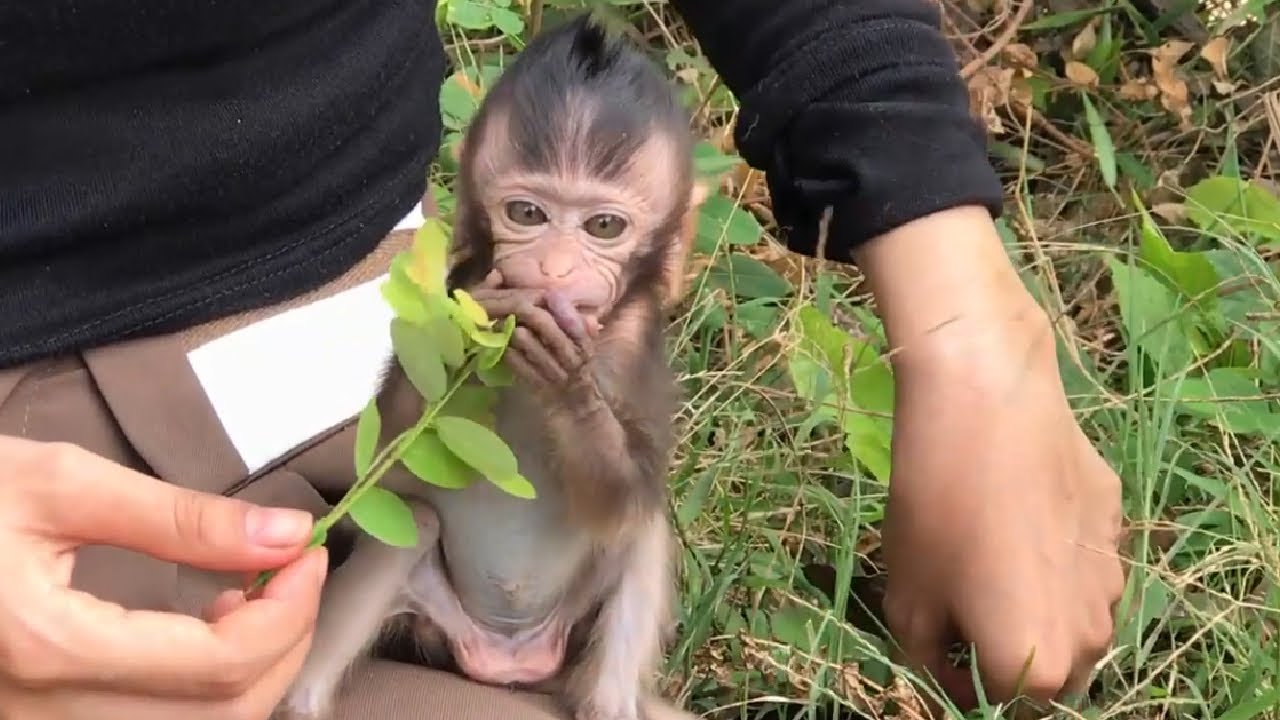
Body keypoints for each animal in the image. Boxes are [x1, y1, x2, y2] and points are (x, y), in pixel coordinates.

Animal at [274, 14, 708, 720]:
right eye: (527, 214)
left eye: (604, 226)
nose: (555, 268)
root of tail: (505, 660)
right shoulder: (456, 288)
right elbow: (392, 447)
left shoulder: (635, 345)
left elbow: (626, 496)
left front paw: (570, 384)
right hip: (434, 622)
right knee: (414, 523)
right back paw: (300, 700)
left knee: (641, 529)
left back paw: (612, 702)